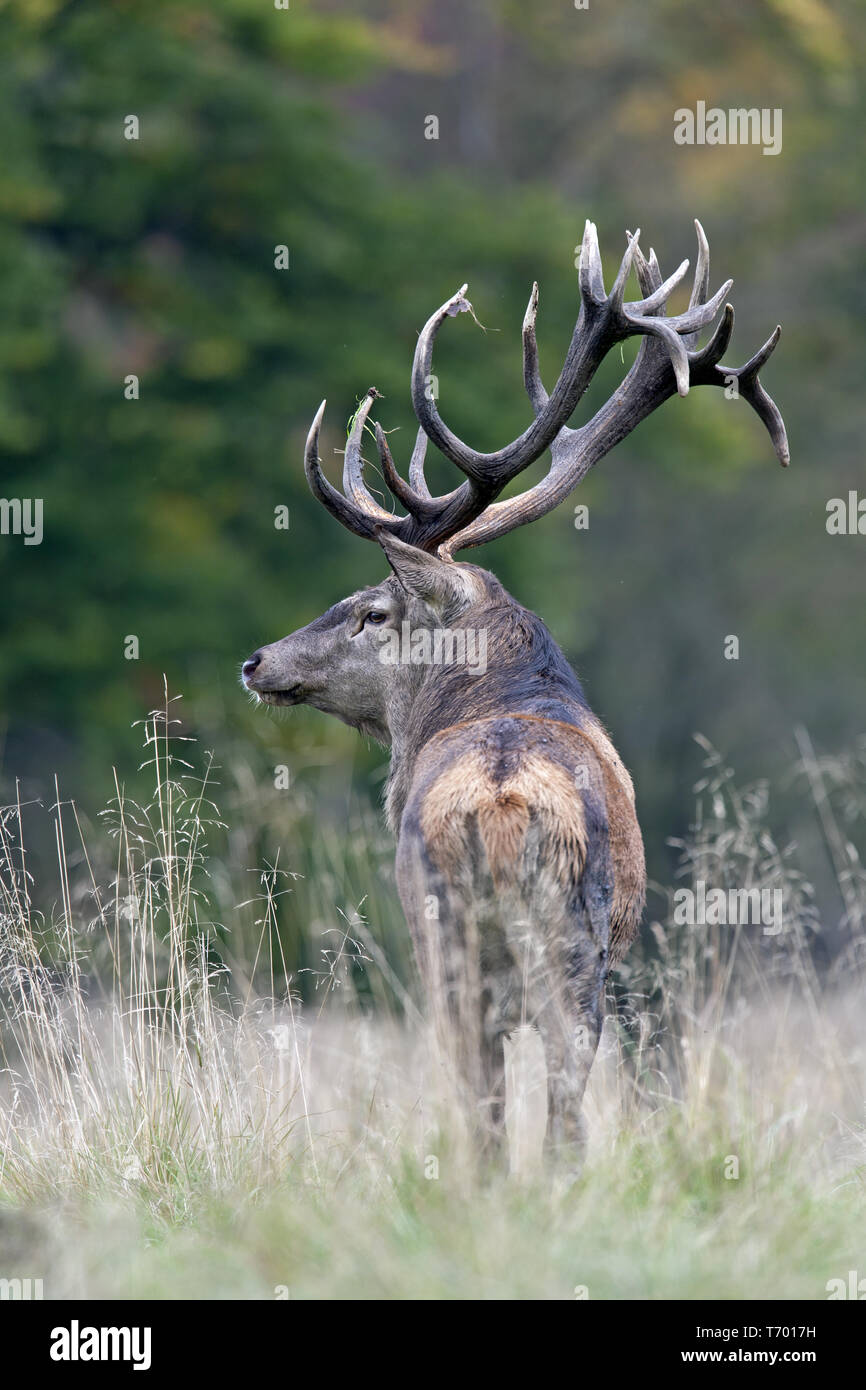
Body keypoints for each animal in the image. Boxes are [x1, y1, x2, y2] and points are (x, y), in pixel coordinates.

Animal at [241, 220, 788, 1175]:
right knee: (552, 1097)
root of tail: (498, 803)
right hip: (549, 950)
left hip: (471, 942)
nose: (259, 661)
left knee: (510, 1099)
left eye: (371, 610)